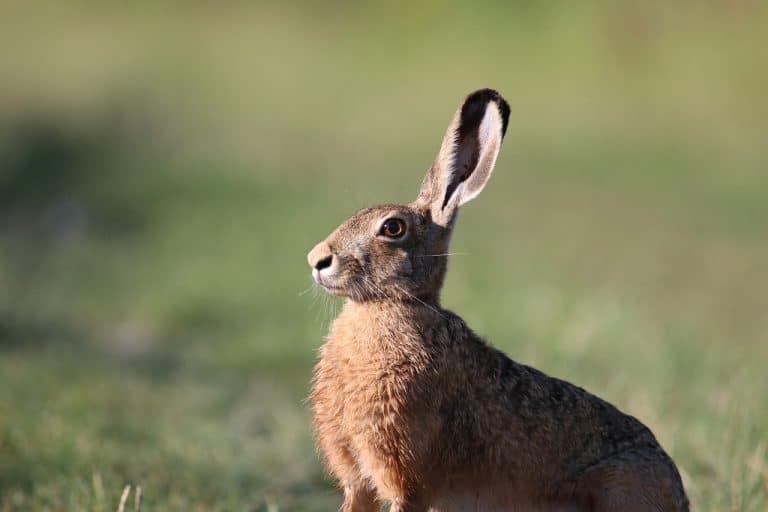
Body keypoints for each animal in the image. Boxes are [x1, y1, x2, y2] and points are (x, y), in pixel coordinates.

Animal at [307, 89, 689, 512]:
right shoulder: (357, 479)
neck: (385, 307)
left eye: (392, 228)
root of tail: (678, 495)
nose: (316, 259)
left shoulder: (408, 479)